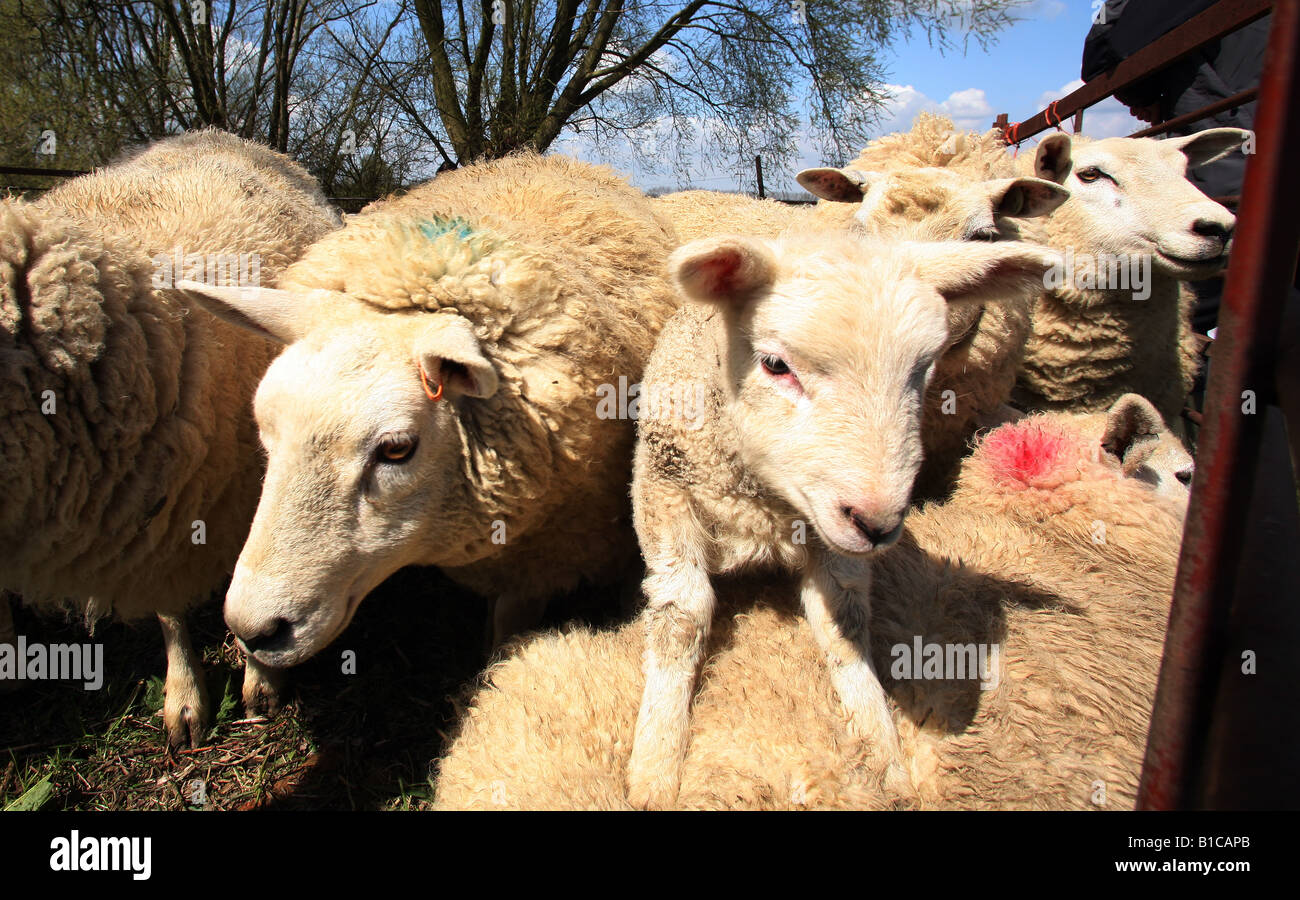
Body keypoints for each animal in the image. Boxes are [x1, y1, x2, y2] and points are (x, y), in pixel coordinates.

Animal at [620, 232, 1059, 808]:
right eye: (775, 364)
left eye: (921, 370)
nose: (877, 523)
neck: (761, 499)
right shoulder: (664, 496)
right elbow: (681, 616)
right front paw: (656, 762)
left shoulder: (831, 542)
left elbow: (843, 623)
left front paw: (882, 750)